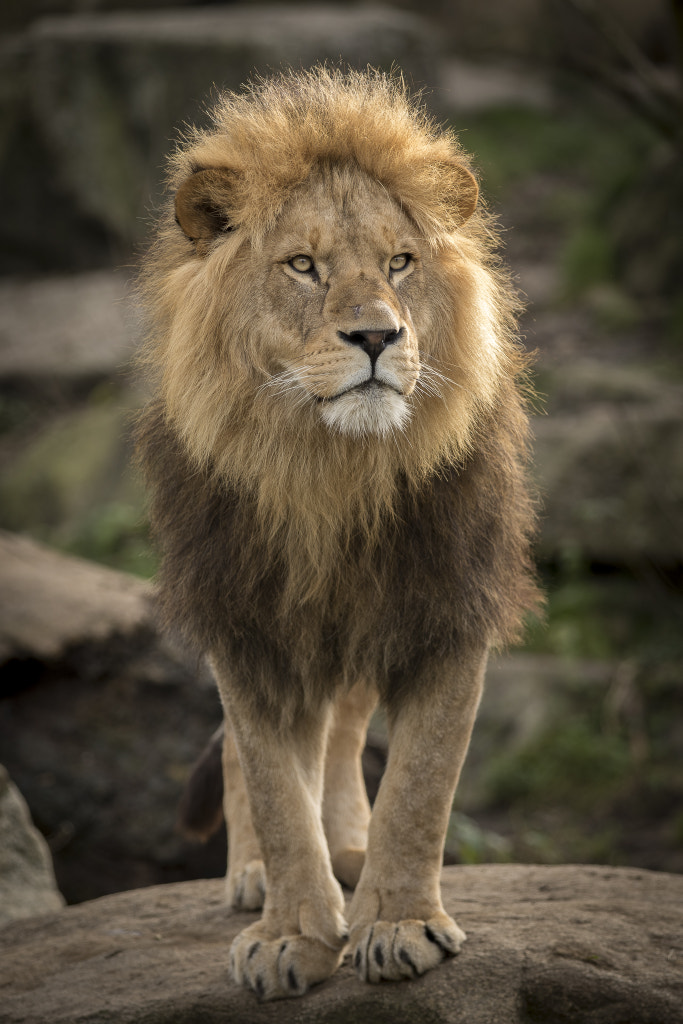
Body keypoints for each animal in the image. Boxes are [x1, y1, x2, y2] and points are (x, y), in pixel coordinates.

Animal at [136, 66, 539, 1000]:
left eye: (399, 262)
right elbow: (274, 788)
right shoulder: (245, 620)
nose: (377, 335)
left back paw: (350, 855)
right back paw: (255, 878)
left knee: (346, 731)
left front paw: (397, 925)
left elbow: (421, 785)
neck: (330, 471)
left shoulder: (444, 606)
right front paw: (291, 935)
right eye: (302, 265)